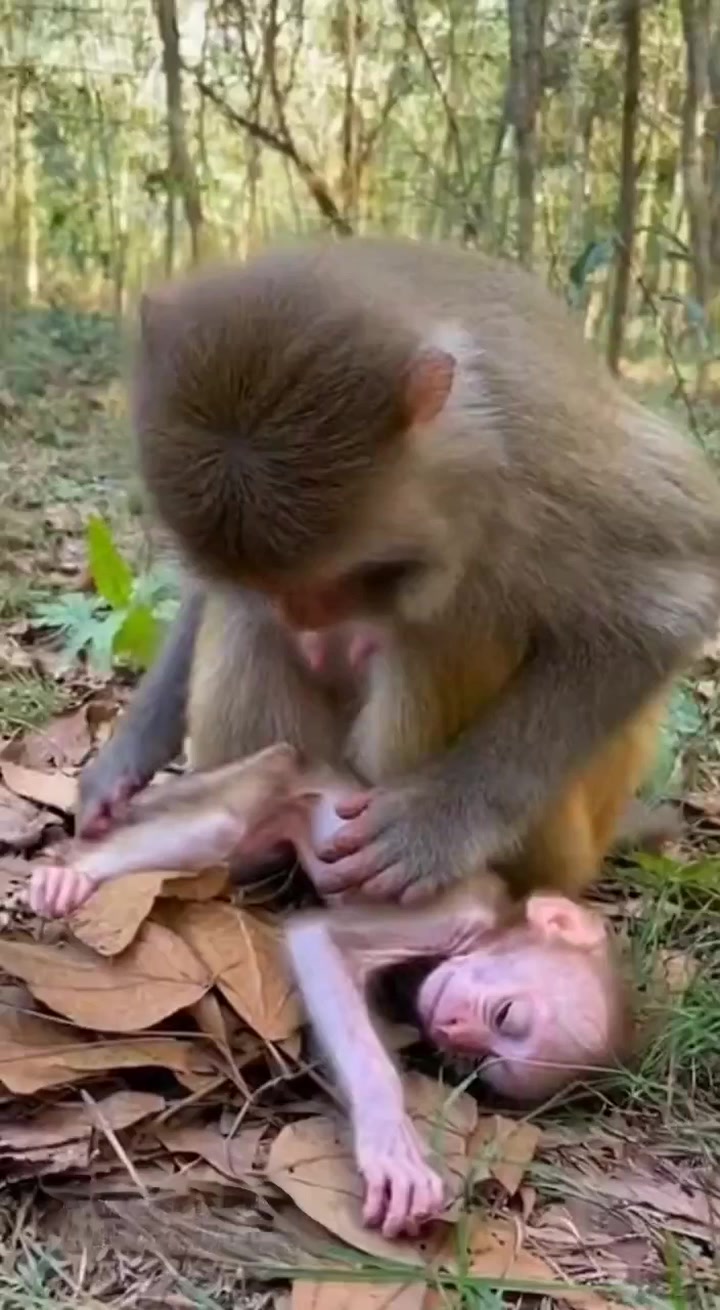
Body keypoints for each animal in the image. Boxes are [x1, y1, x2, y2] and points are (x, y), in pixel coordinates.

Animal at [31, 745, 631, 1239]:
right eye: (506, 1015)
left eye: (481, 1064)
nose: (454, 1030)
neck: (494, 924)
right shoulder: (454, 916)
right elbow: (318, 939)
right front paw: (390, 1143)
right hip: (273, 775)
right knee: (223, 826)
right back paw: (79, 871)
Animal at [78, 236, 720, 900]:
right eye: (267, 581)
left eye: (370, 571)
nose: (305, 620)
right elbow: (218, 598)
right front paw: (125, 762)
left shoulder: (543, 464)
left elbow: (670, 600)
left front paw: (436, 819)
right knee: (249, 627)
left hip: (559, 844)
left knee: (445, 631)